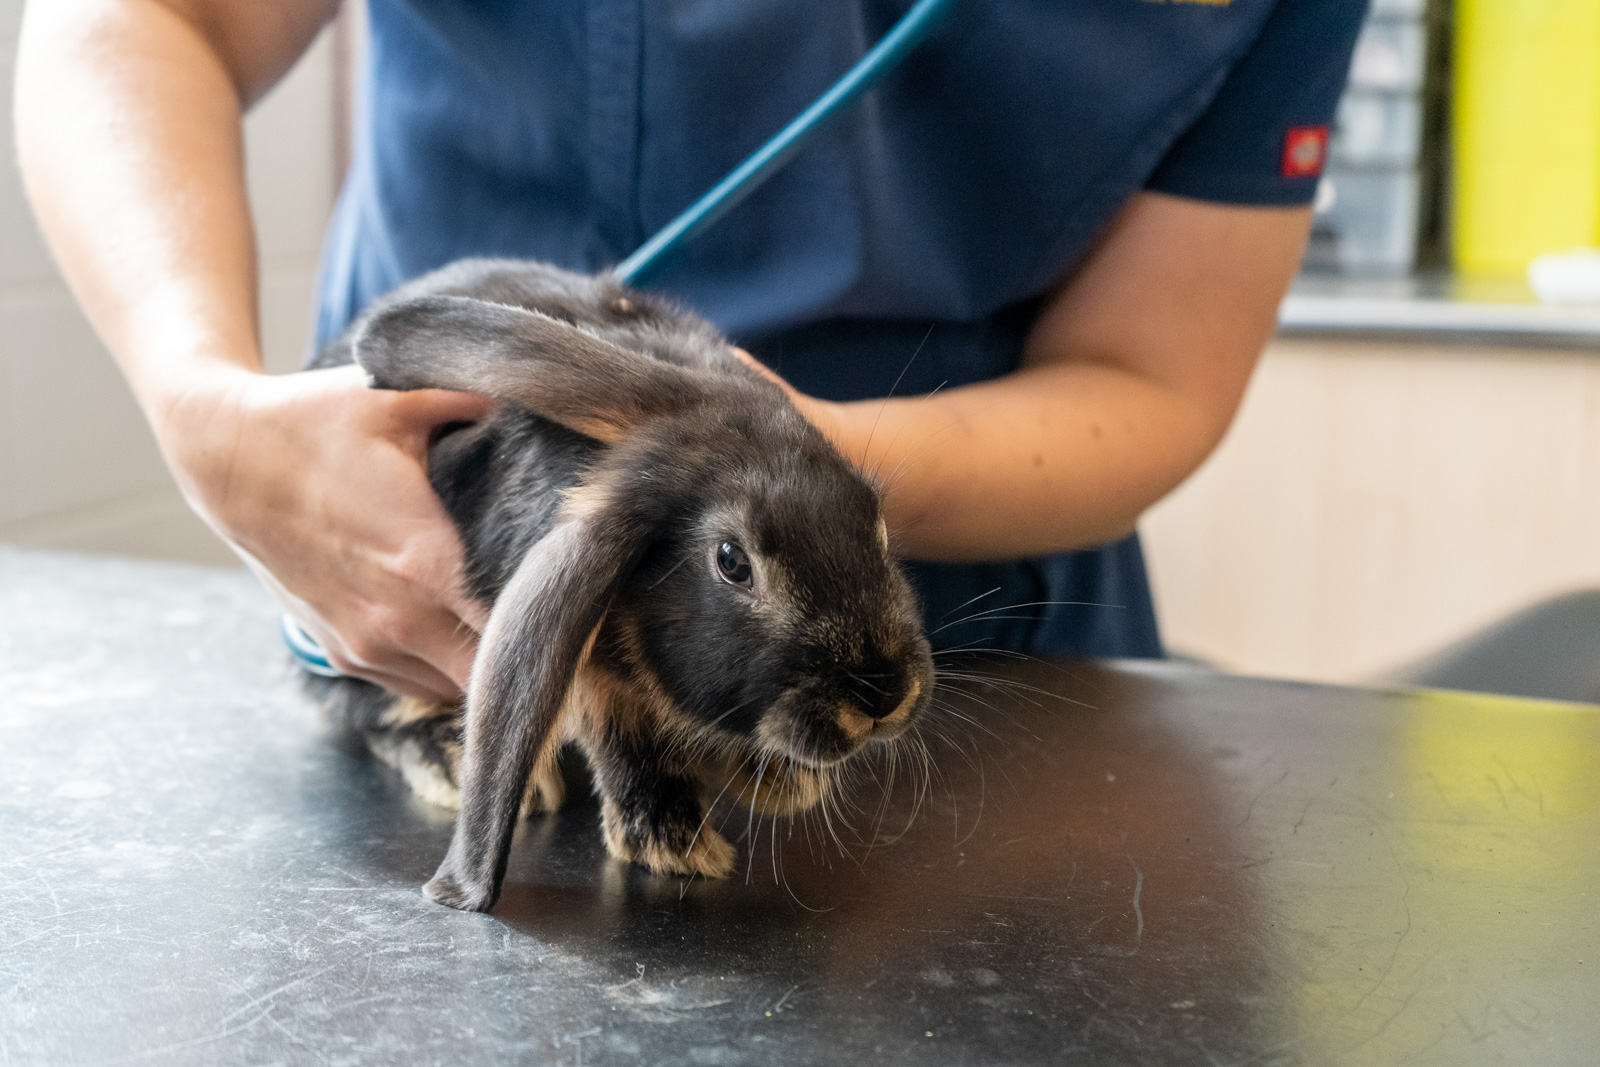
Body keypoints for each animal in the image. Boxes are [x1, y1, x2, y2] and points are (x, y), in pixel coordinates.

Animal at [303, 259, 935, 913]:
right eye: (732, 562)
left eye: (876, 519)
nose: (883, 694)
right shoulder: (597, 678)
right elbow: (630, 743)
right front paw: (674, 842)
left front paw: (788, 782)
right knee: (371, 713)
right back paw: (455, 764)